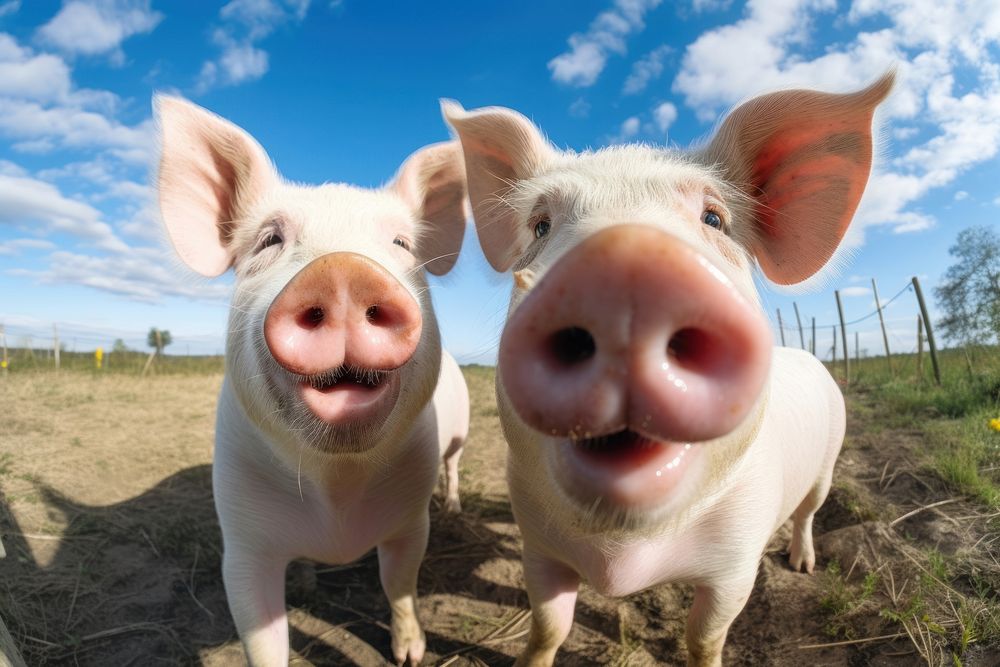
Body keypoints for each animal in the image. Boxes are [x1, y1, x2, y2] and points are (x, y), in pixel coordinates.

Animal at [154, 96, 470, 666]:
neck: (336, 492)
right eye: (269, 240)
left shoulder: (411, 521)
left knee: (454, 467)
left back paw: (454, 507)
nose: (343, 271)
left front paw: (409, 654)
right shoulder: (242, 544)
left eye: (402, 243)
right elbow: (261, 636)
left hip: (459, 438)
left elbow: (399, 585)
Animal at [444, 72, 893, 666]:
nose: (627, 260)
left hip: (828, 461)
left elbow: (705, 636)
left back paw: (802, 565)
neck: (621, 555)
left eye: (714, 218)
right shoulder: (537, 546)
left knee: (807, 513)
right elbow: (547, 626)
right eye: (540, 225)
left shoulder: (736, 564)